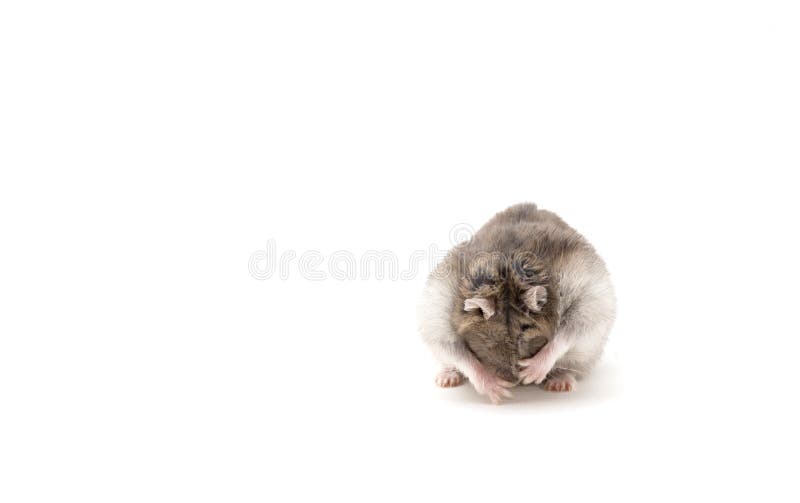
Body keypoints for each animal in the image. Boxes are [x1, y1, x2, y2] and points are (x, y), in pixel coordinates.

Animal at [417, 203, 616, 403]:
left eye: (526, 329)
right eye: (488, 339)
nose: (515, 381)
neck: (508, 273)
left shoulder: (589, 302)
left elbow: (565, 335)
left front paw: (529, 372)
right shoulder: (437, 313)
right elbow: (460, 355)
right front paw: (499, 389)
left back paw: (559, 382)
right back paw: (447, 378)